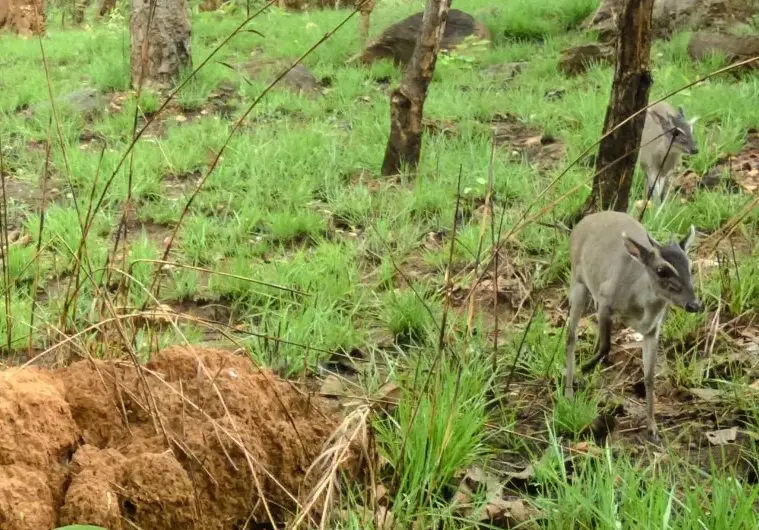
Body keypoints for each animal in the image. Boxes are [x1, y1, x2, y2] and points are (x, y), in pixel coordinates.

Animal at [564, 209, 708, 438]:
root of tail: (584, 221)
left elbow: (649, 377)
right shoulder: (605, 302)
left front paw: (653, 427)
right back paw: (569, 391)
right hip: (578, 281)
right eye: (661, 270)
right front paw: (583, 368)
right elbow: (606, 346)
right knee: (571, 336)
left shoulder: (652, 330)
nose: (694, 304)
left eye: (691, 267)